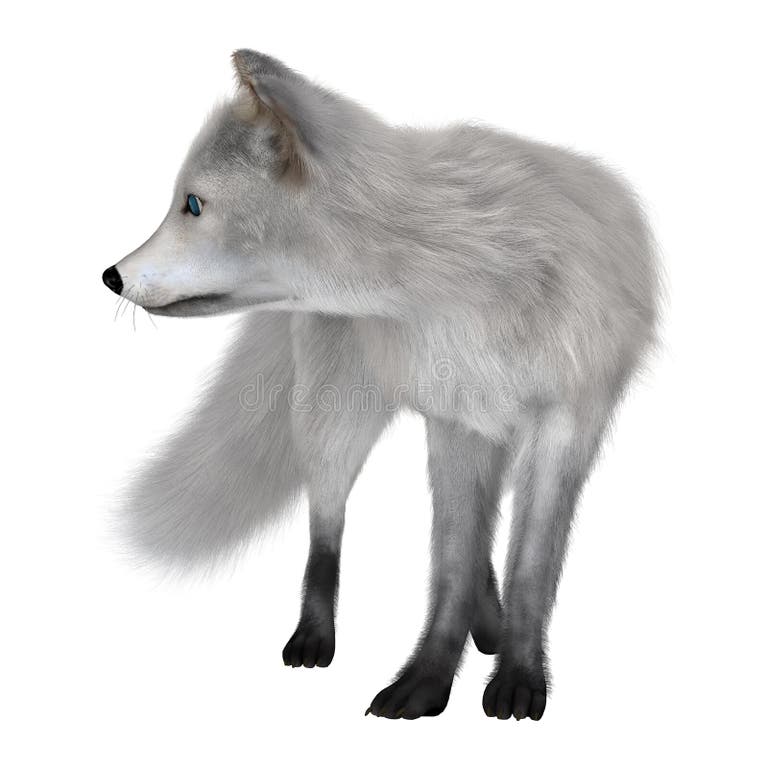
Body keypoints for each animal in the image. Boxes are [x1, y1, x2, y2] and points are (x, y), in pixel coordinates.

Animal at [103, 50, 660, 720]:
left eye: (192, 204)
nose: (109, 276)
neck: (472, 277)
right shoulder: (458, 423)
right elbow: (449, 565)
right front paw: (426, 682)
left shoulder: (565, 421)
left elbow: (528, 567)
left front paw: (519, 676)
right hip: (334, 419)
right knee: (328, 526)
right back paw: (318, 634)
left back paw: (492, 628)